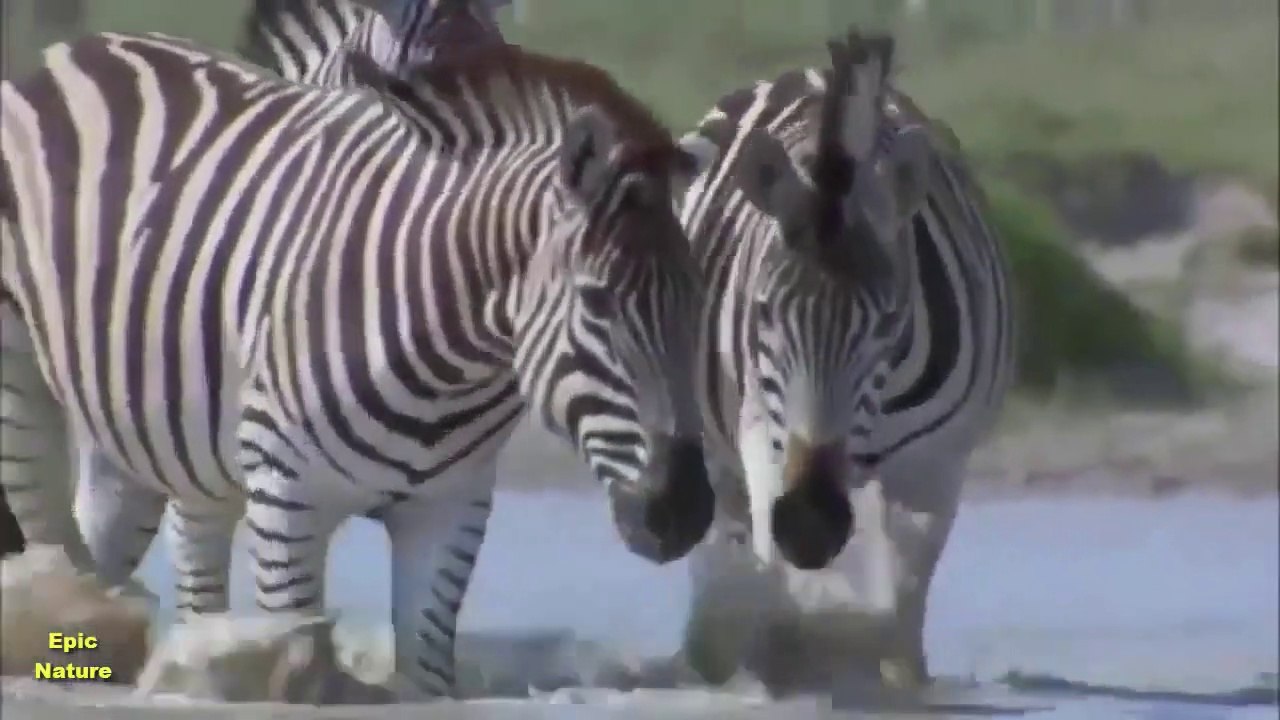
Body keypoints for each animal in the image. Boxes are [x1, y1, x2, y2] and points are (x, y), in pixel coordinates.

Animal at [0, 30, 764, 696]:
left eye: (700, 298)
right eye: (597, 301)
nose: (683, 514)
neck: (449, 357)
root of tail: (79, 47)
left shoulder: (450, 513)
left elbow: (424, 677)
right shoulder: (286, 502)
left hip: (159, 436)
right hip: (24, 395)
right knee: (52, 558)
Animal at [672, 30, 1016, 690]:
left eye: (889, 320)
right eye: (763, 312)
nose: (811, 524)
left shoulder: (936, 466)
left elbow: (899, 608)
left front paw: (884, 672)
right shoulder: (764, 435)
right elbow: (773, 577)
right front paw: (780, 666)